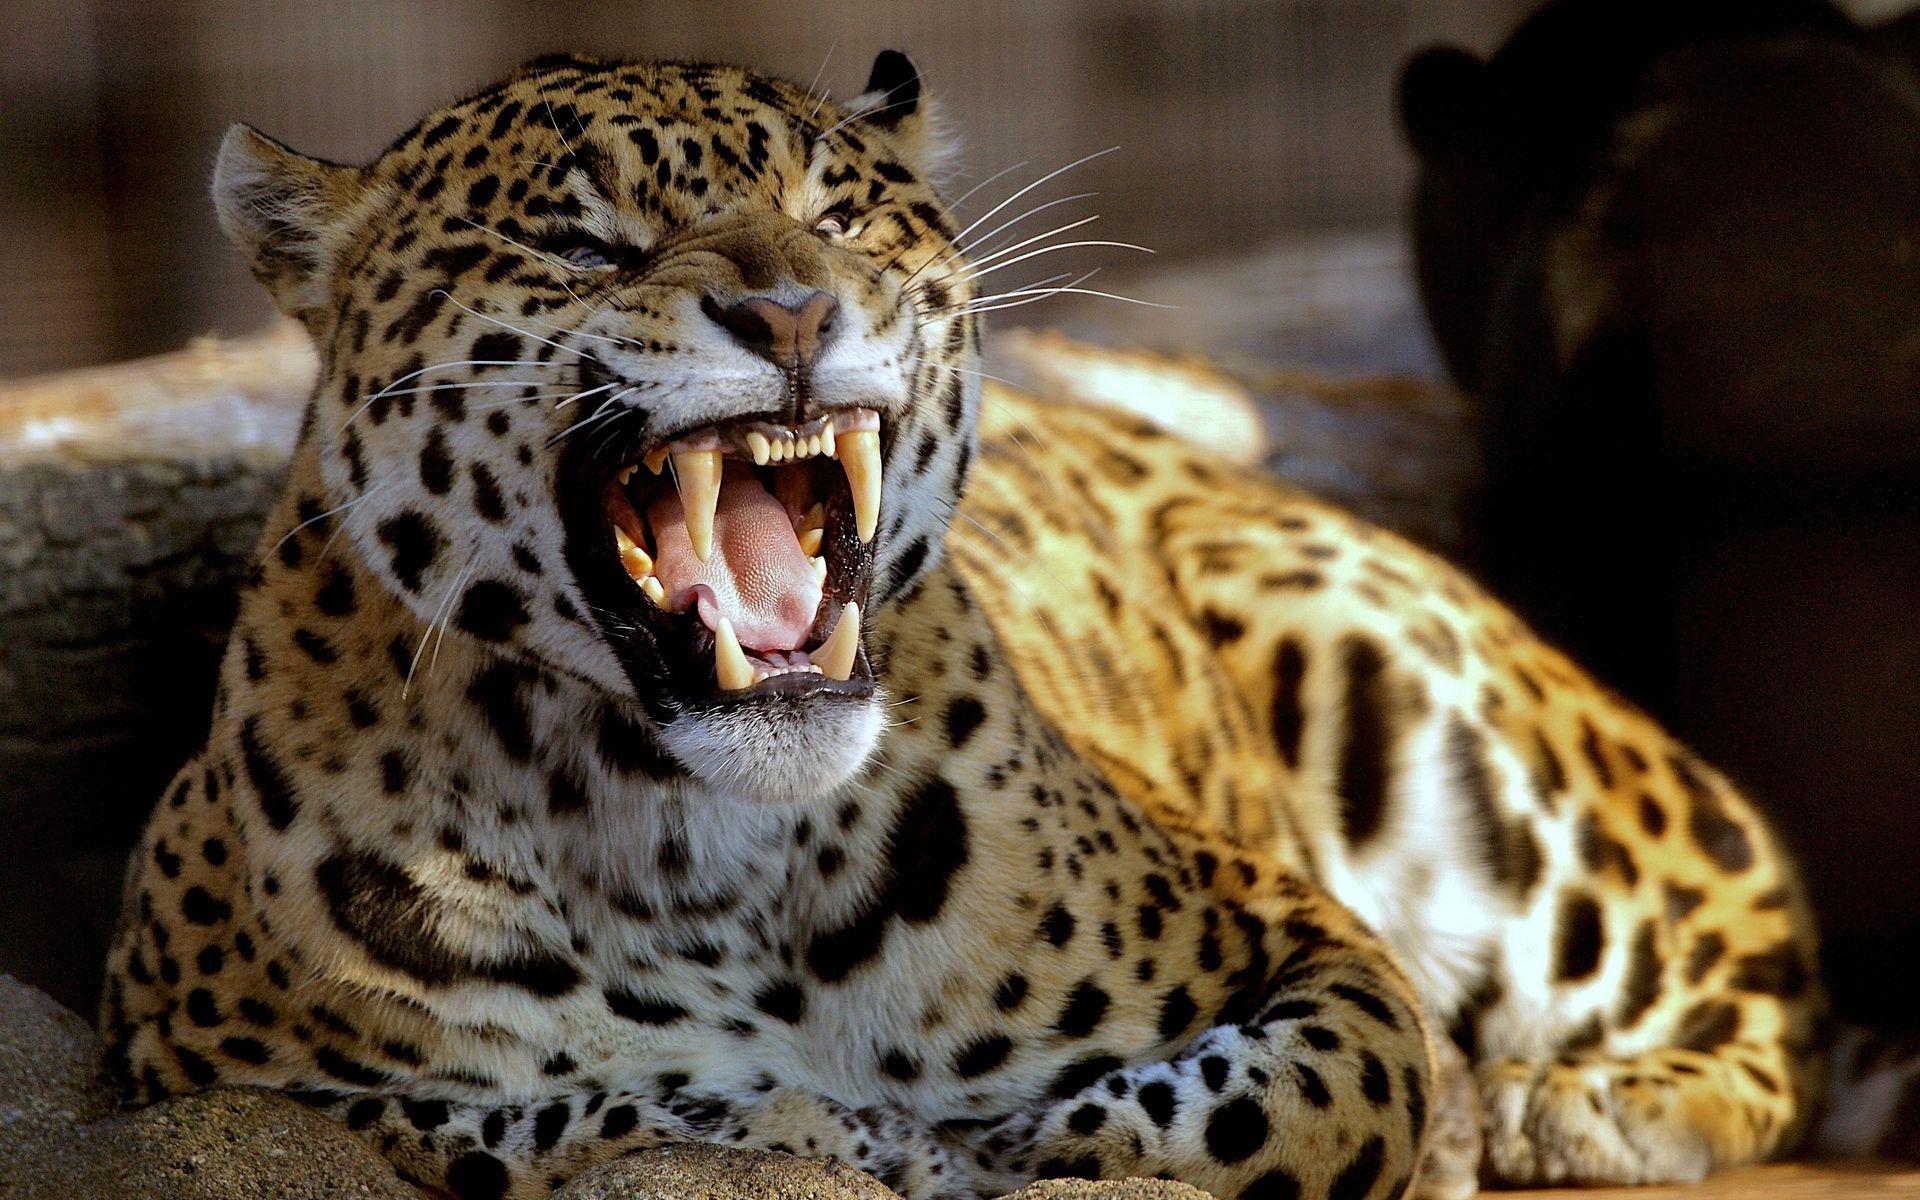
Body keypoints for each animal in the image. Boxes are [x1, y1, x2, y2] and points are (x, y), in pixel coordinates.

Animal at [100, 50, 1824, 1200]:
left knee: (1759, 952)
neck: (693, 847)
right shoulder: (209, 1069)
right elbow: (562, 1118)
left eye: (838, 218)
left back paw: (1579, 1107)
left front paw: (1037, 1138)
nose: (792, 310)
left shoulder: (1310, 936)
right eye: (586, 243)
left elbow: (1294, 1102)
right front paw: (837, 1130)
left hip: (1419, 695)